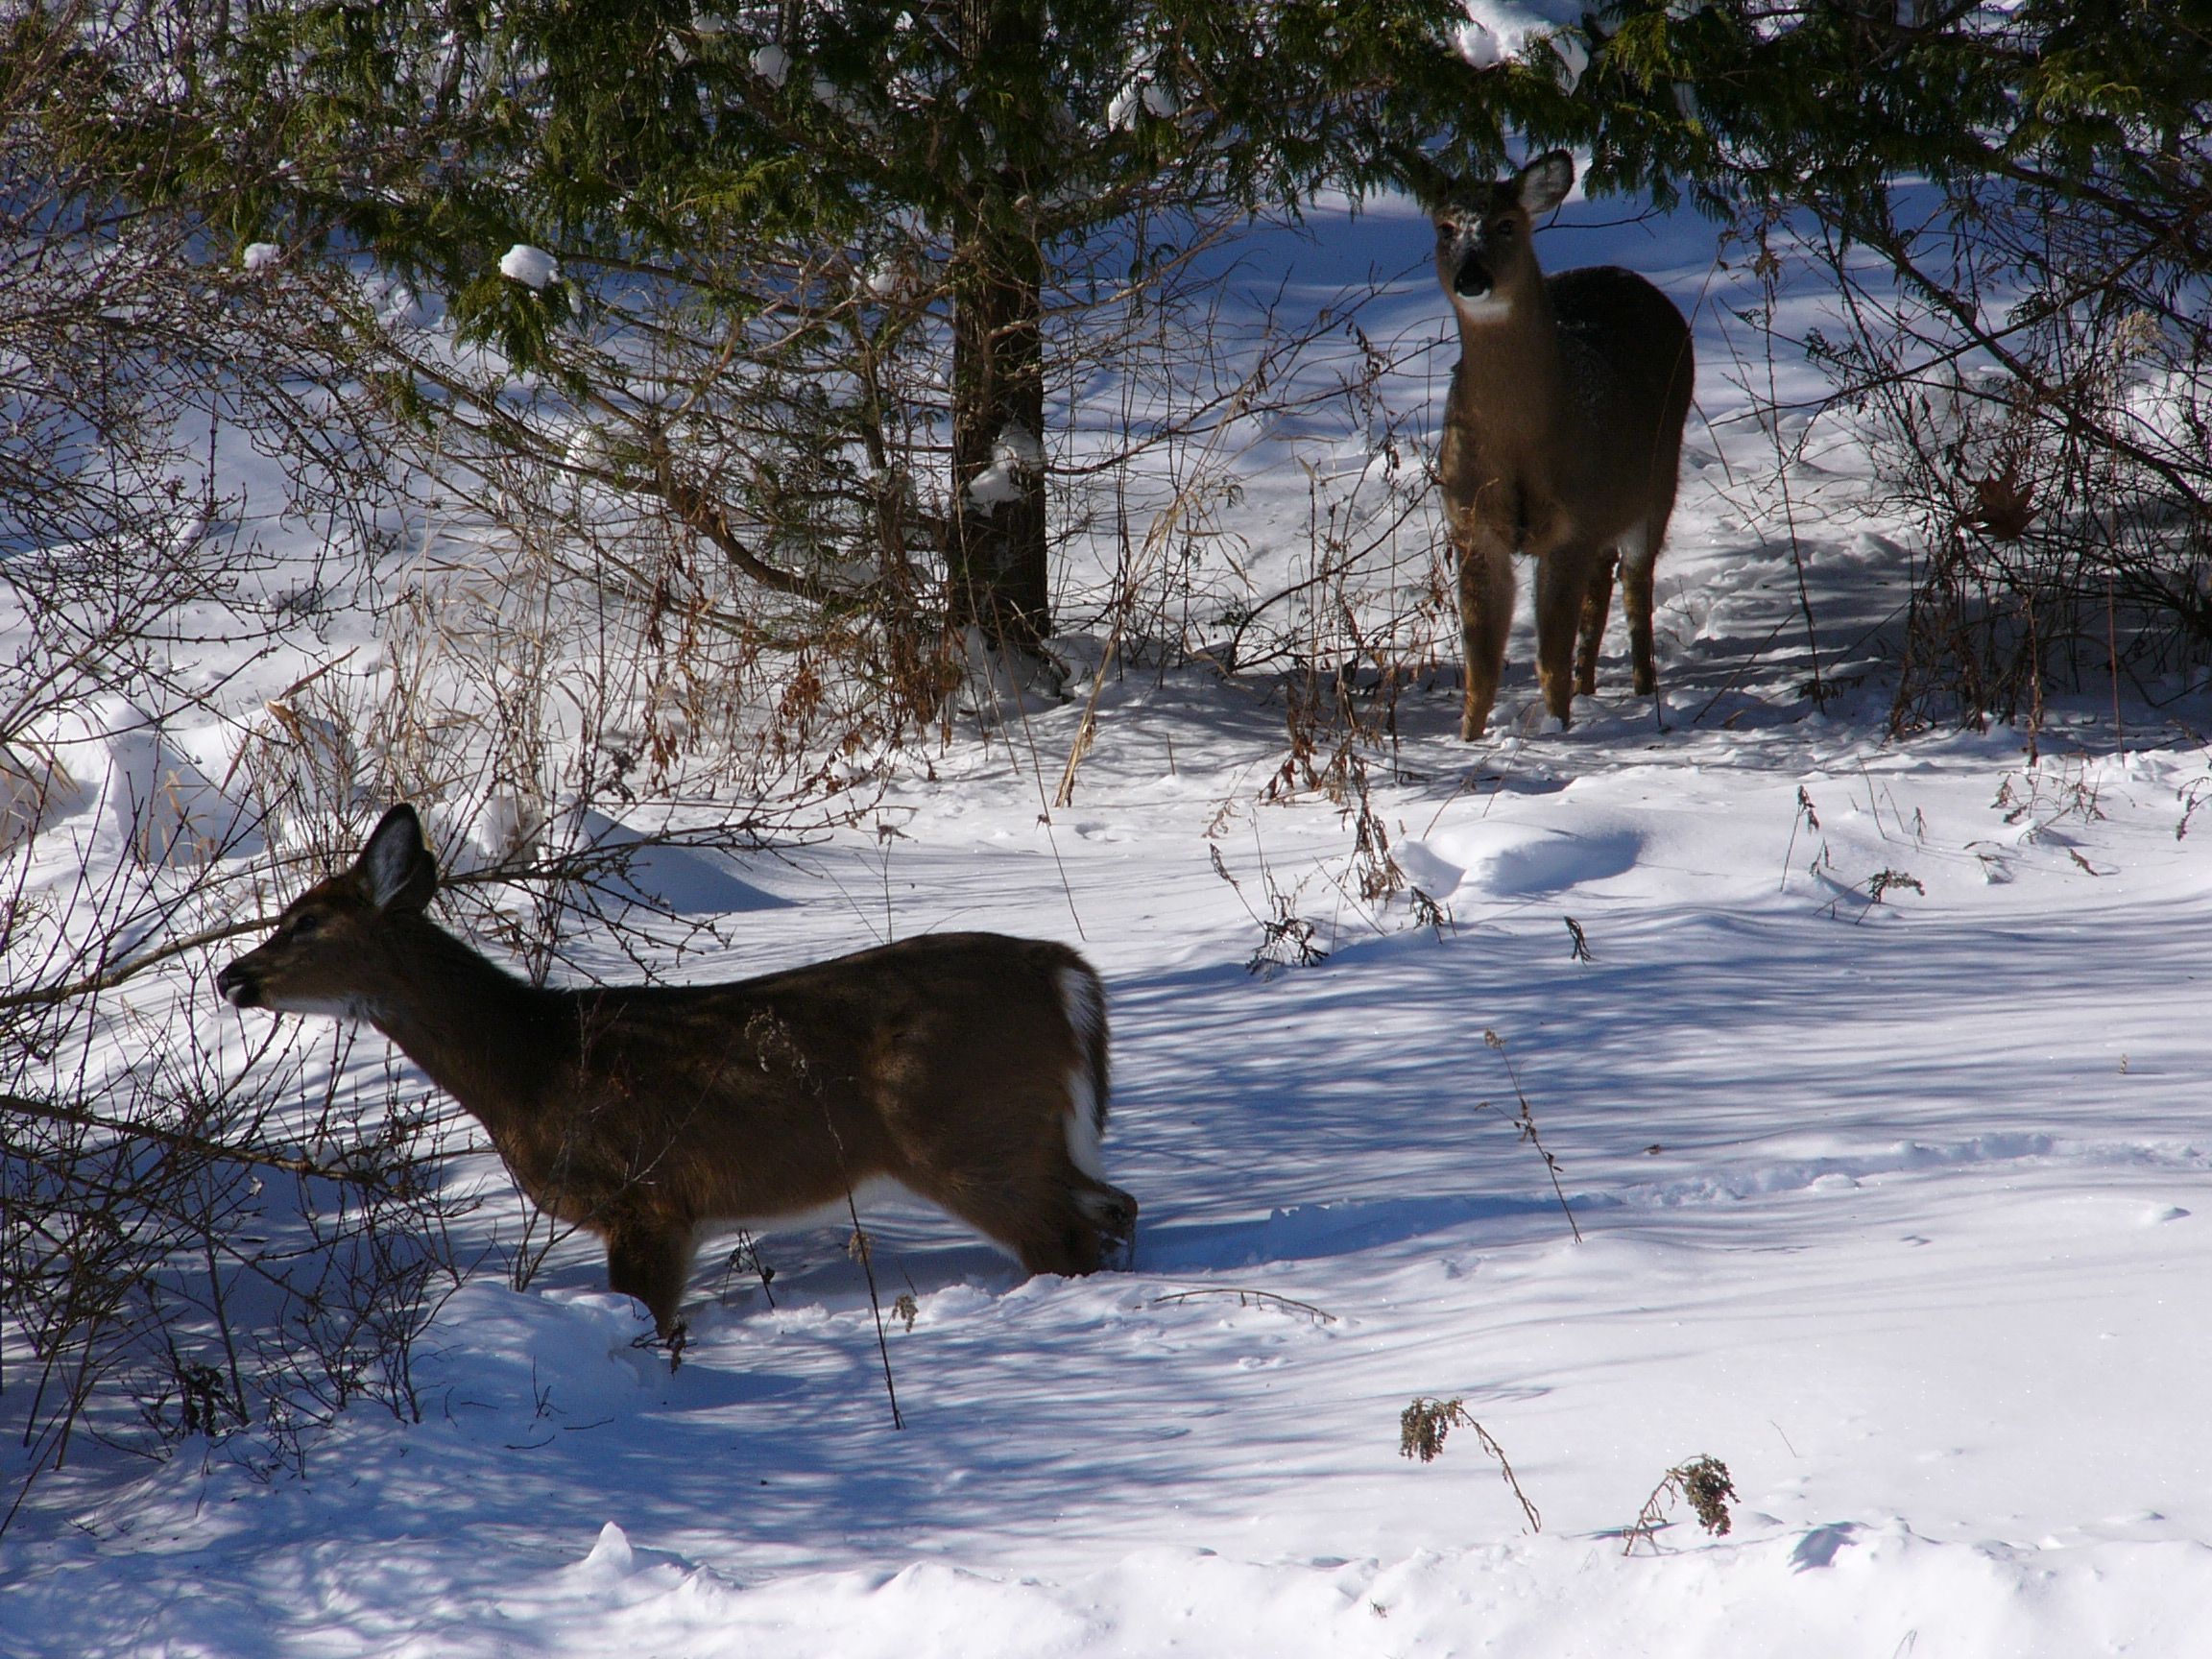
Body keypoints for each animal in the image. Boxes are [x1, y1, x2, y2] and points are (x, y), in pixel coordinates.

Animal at [216, 804, 1137, 1342]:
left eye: (304, 921)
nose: (231, 976)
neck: (529, 1064)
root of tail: (1068, 976)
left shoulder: (645, 1198)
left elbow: (651, 1325)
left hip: (968, 1134)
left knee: (1066, 1237)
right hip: (1035, 1136)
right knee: (1115, 1207)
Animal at [1414, 148, 1695, 739]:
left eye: (1506, 224)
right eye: (1445, 227)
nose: (1471, 278)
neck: (1523, 442)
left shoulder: (1572, 524)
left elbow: (1549, 657)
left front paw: (1558, 730)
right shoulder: (1472, 525)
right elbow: (1481, 663)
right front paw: (1468, 738)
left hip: (1658, 481)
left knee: (1635, 581)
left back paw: (1644, 689)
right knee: (1604, 579)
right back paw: (1593, 686)